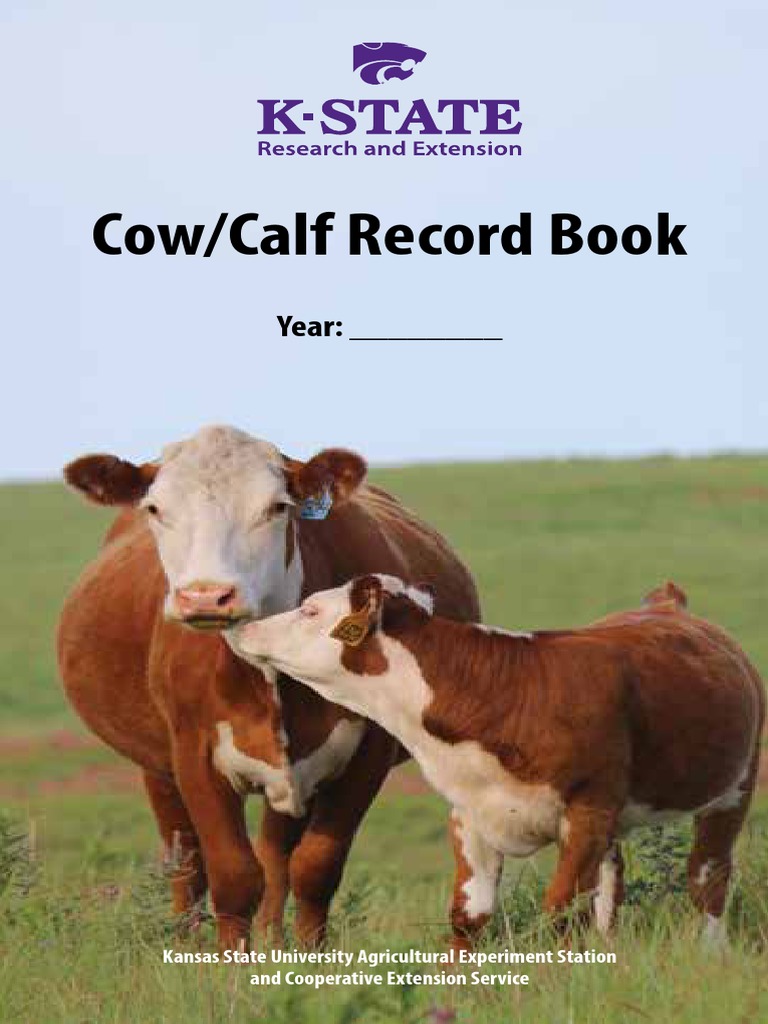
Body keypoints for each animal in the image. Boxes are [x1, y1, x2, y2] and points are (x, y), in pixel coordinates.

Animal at [58, 426, 479, 950]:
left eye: (278, 507)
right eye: (155, 508)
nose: (205, 596)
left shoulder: (367, 754)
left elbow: (313, 867)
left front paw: (308, 954)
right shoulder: (193, 754)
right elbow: (232, 875)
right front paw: (226, 963)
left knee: (276, 855)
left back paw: (274, 939)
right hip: (157, 765)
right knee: (185, 860)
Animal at [231, 574, 764, 951]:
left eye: (311, 609)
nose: (243, 626)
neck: (510, 691)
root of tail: (666, 604)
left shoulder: (587, 813)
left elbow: (560, 911)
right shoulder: (470, 813)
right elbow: (469, 916)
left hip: (732, 790)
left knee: (708, 876)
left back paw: (710, 952)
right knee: (613, 885)